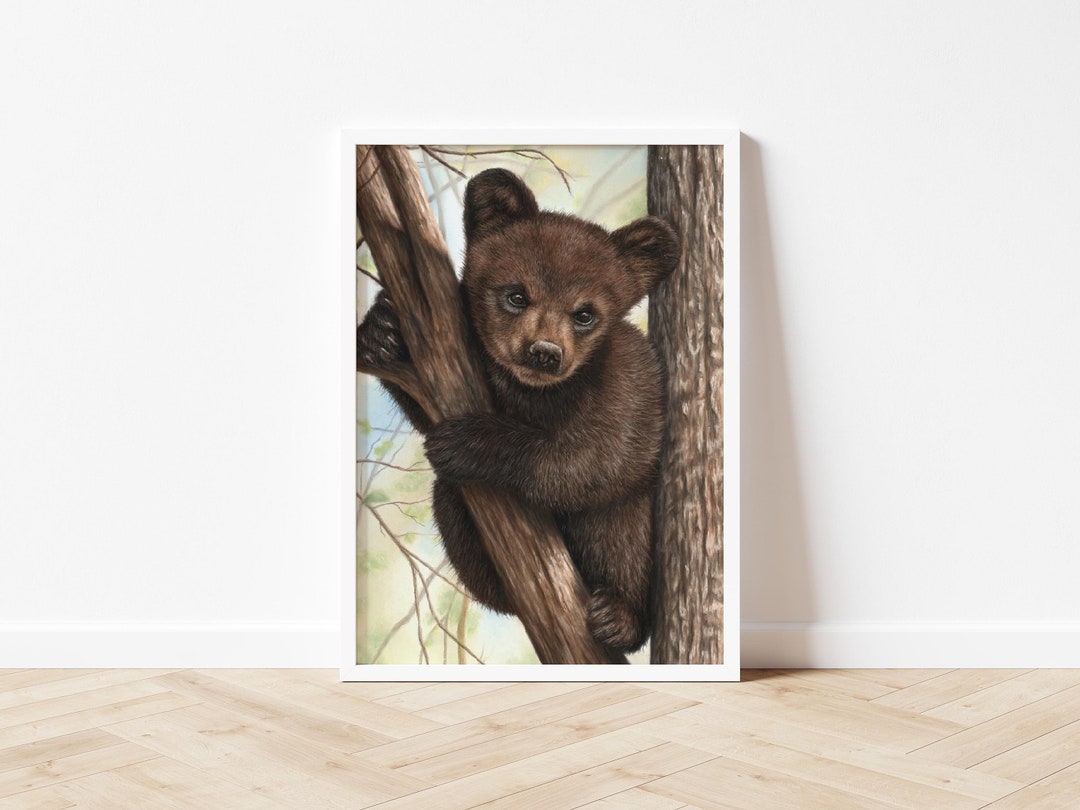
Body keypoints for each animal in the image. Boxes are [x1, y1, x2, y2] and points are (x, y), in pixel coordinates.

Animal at [357, 167, 680, 653]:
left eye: (585, 314)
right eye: (516, 296)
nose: (544, 352)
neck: (532, 393)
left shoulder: (630, 378)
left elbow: (599, 457)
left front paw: (468, 442)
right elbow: (425, 397)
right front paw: (382, 329)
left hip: (629, 525)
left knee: (621, 527)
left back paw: (618, 616)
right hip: (455, 516)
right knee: (451, 506)